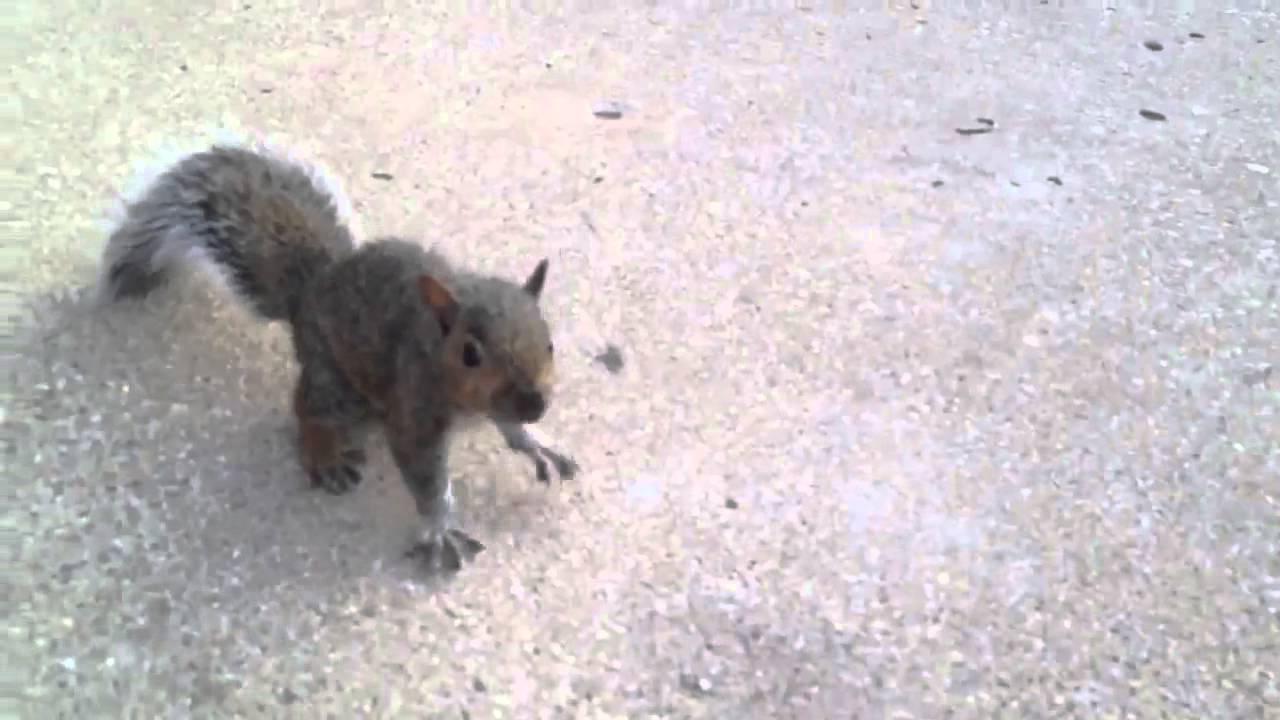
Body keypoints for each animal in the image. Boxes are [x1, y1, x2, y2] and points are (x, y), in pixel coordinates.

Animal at [98, 140, 579, 573]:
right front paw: (440, 528)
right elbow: (425, 477)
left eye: (550, 343)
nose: (536, 404)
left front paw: (539, 445)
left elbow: (511, 431)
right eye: (470, 354)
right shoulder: (414, 409)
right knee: (307, 405)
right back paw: (324, 453)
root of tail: (309, 291)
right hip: (339, 385)